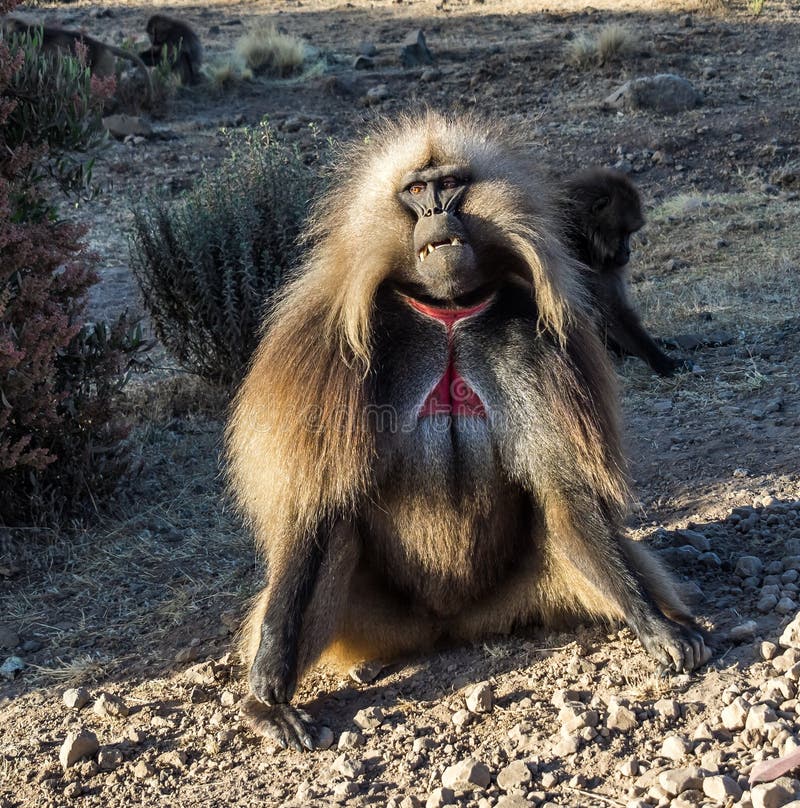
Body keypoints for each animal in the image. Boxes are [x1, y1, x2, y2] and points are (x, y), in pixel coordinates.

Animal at [559, 167, 685, 377]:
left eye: (630, 233)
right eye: (623, 233)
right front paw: (663, 361)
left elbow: (612, 307)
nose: (628, 252)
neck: (581, 235)